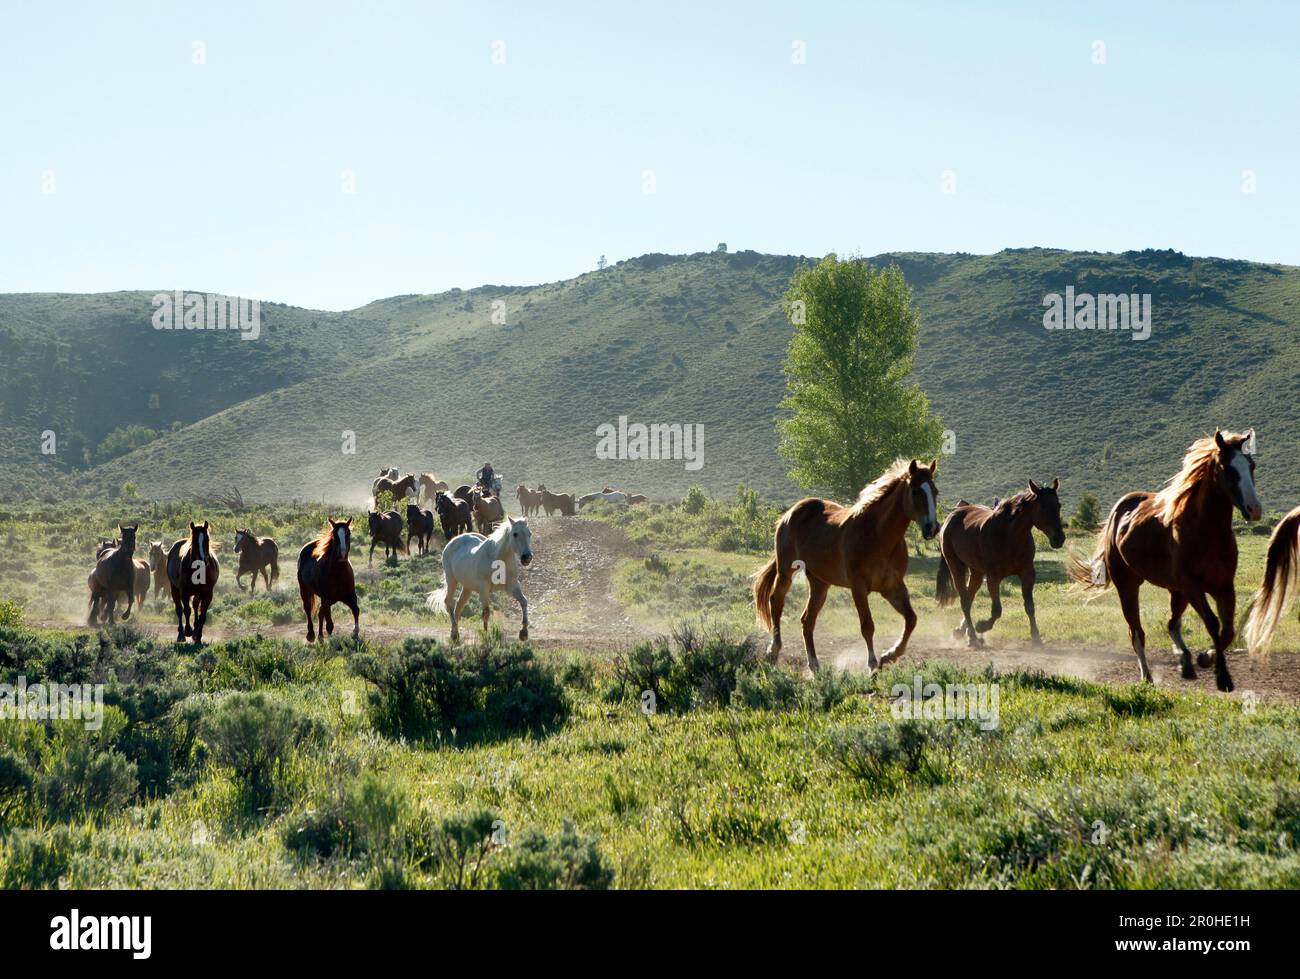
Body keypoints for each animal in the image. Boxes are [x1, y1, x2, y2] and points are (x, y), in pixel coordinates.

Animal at [753, 458, 940, 672]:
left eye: (935, 491)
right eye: (916, 491)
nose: (932, 528)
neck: (879, 537)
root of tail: (790, 513)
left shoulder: (893, 587)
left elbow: (911, 619)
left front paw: (889, 656)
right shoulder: (858, 587)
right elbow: (867, 625)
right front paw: (872, 665)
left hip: (819, 583)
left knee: (807, 620)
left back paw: (814, 666)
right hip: (786, 571)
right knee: (776, 602)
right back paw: (773, 652)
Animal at [936, 479, 1066, 646]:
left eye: (1058, 505)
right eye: (1043, 507)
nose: (1059, 539)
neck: (1010, 536)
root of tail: (952, 515)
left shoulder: (1028, 574)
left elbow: (1030, 606)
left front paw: (1036, 637)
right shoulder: (993, 578)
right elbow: (997, 610)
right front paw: (982, 625)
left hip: (976, 573)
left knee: (969, 597)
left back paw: (962, 631)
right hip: (956, 566)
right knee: (964, 600)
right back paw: (973, 637)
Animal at [1069, 431, 1260, 691]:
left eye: (1251, 465)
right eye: (1228, 469)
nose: (1255, 509)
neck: (1205, 531)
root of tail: (1119, 510)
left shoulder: (1223, 586)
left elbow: (1228, 629)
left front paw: (1205, 658)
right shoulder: (1192, 586)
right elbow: (1213, 623)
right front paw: (1222, 677)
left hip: (1176, 591)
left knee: (1171, 624)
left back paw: (1185, 663)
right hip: (1129, 586)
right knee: (1137, 632)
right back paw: (1147, 676)